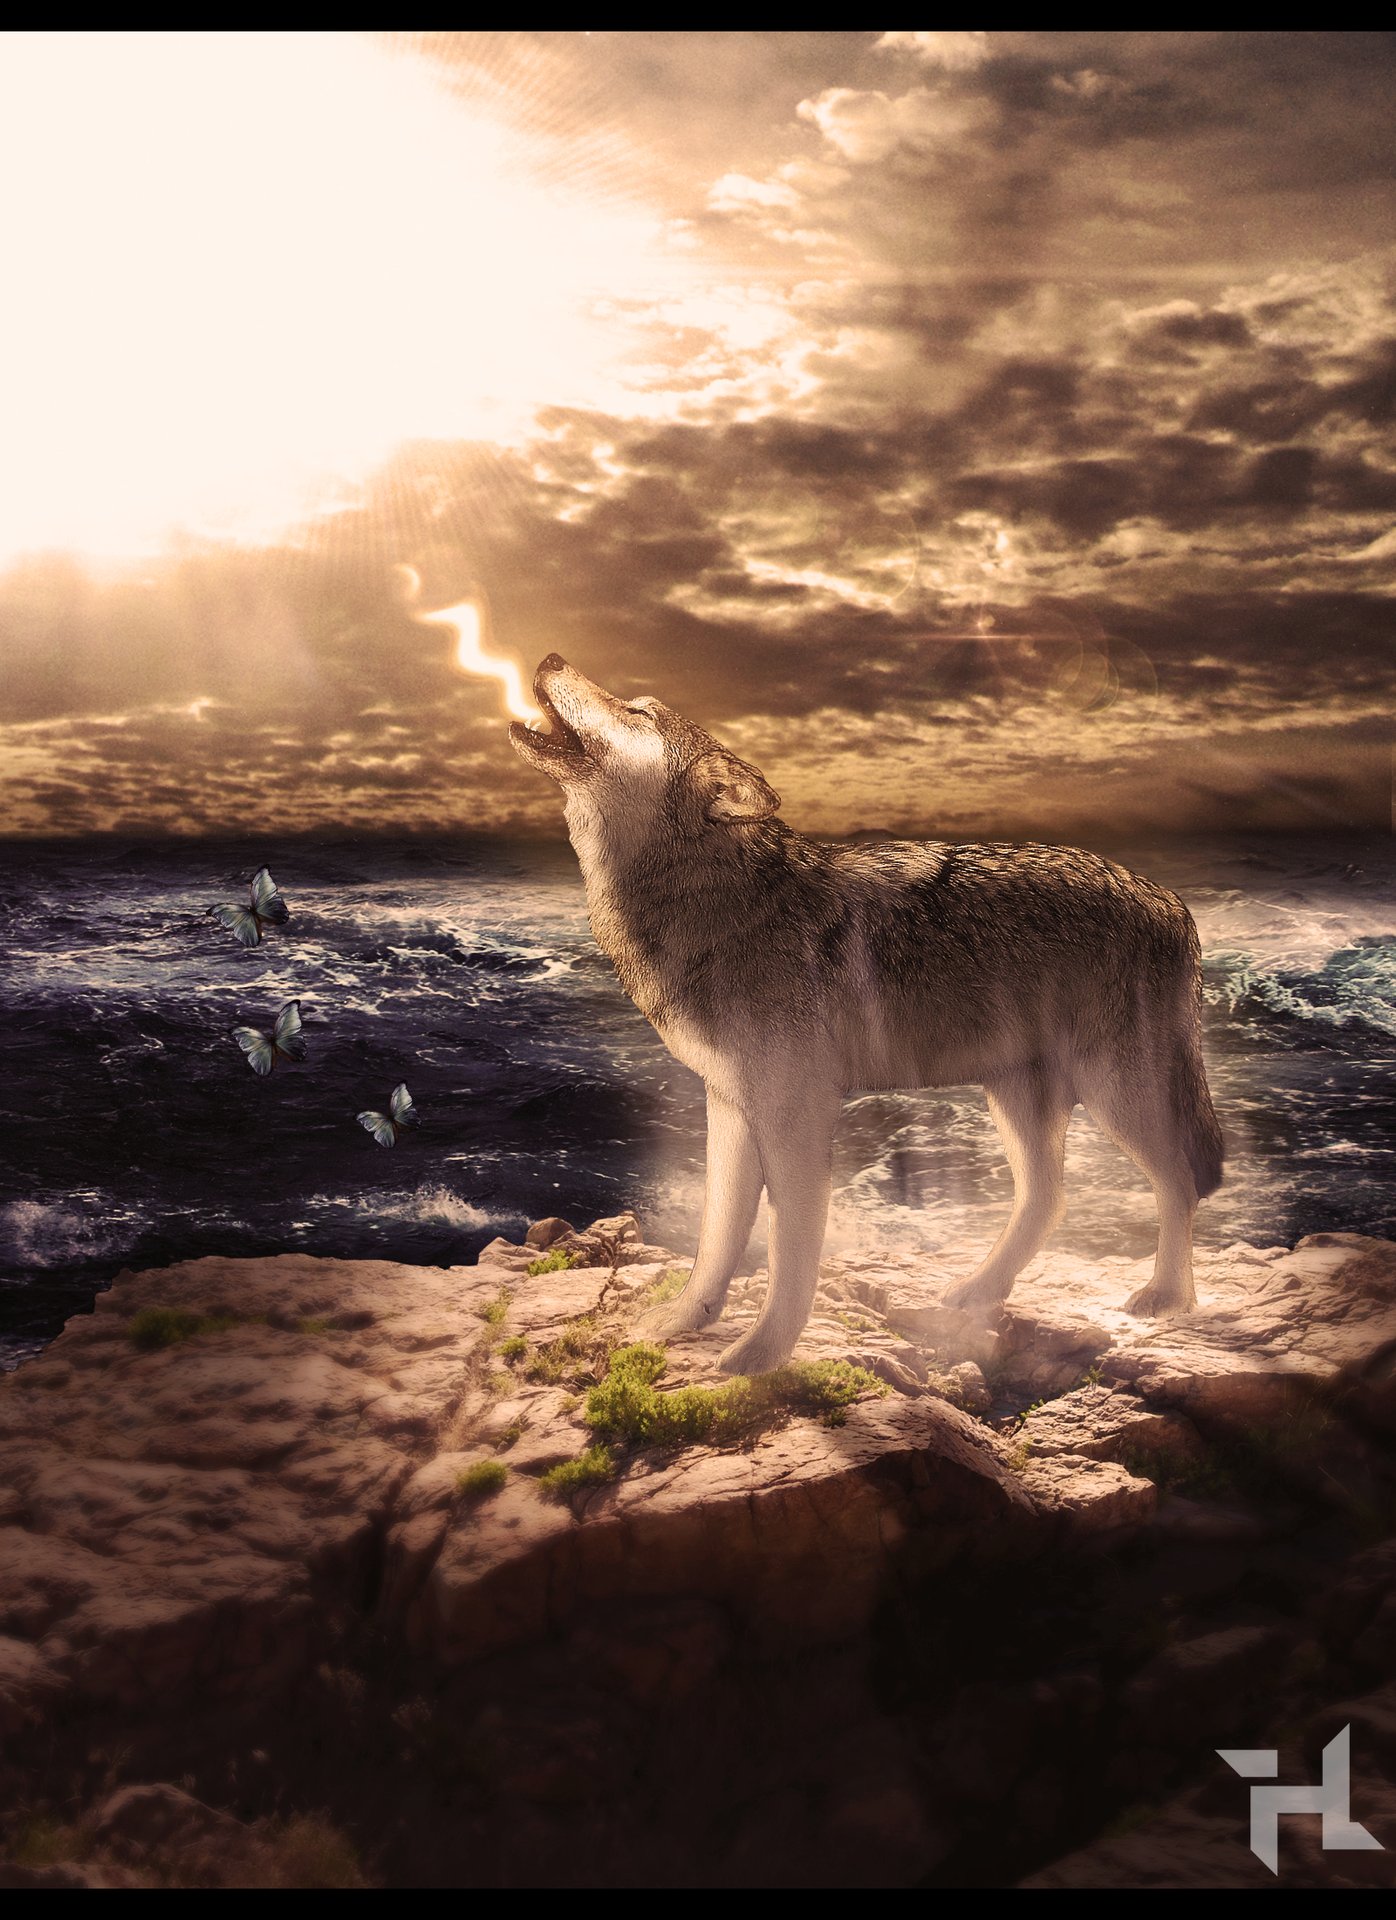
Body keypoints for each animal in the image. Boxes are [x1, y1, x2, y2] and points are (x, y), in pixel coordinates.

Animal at [510, 654, 1224, 1376]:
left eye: (639, 712)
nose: (549, 658)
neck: (717, 898)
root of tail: (1170, 901)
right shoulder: (730, 1106)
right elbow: (716, 1238)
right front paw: (684, 1322)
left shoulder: (794, 1113)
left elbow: (790, 1255)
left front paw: (757, 1359)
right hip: (1016, 1094)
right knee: (1049, 1199)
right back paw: (978, 1291)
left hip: (1116, 1092)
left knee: (1181, 1180)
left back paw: (1168, 1298)